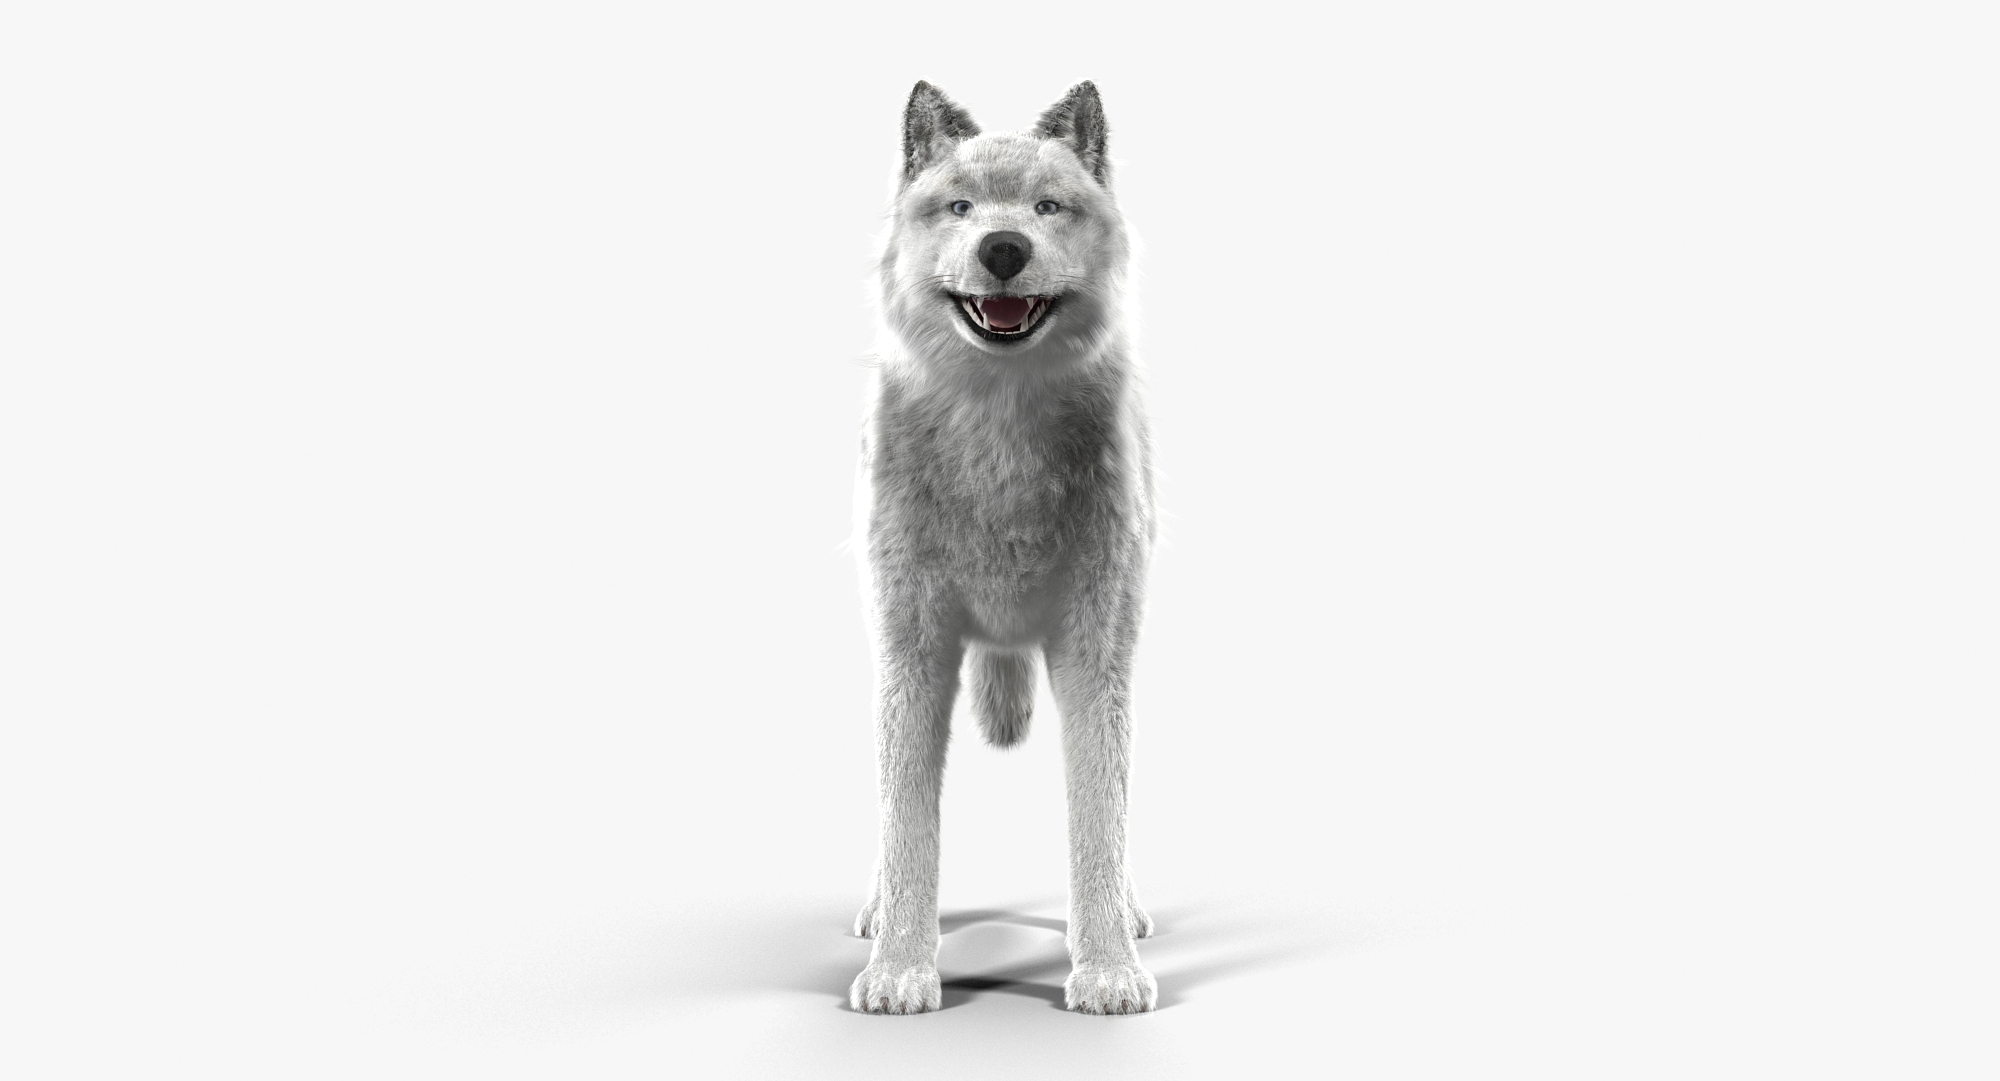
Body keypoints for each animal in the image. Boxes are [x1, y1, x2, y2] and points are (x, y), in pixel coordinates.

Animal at [848, 80, 1157, 1015]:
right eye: (960, 208)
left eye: (1047, 207)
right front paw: (901, 970)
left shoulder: (1096, 657)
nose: (1004, 247)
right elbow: (907, 823)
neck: (999, 443)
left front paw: (1107, 970)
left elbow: (1099, 815)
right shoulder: (912, 654)